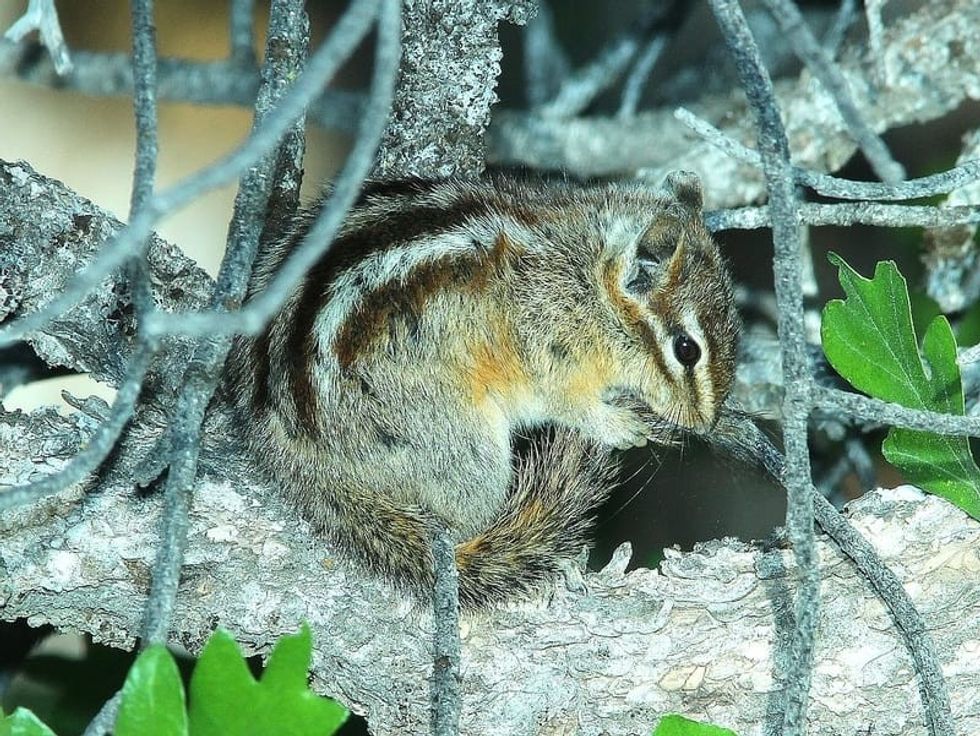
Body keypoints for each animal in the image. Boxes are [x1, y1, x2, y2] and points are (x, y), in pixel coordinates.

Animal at [223, 171, 740, 608]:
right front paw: (618, 423)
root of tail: (298, 455)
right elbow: (569, 404)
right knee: (462, 523)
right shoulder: (549, 349)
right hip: (459, 444)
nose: (705, 422)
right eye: (687, 349)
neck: (586, 276)